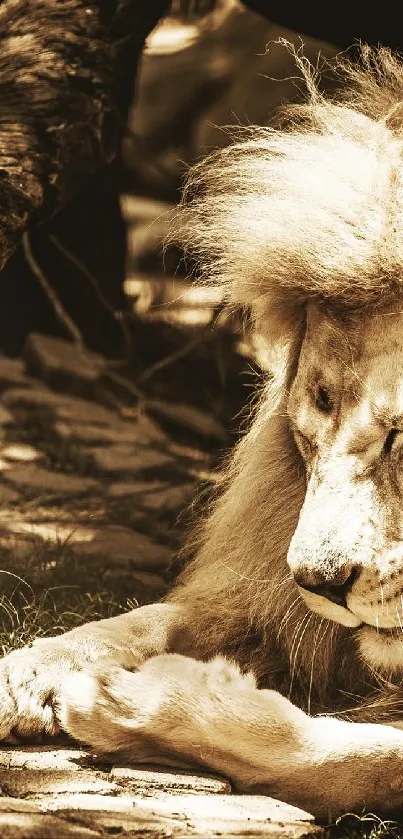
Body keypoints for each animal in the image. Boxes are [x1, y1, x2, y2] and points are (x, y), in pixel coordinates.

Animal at [5, 43, 403, 821]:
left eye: (399, 436)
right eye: (306, 432)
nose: (317, 585)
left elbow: (346, 758)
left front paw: (138, 698)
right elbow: (157, 615)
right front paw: (31, 669)